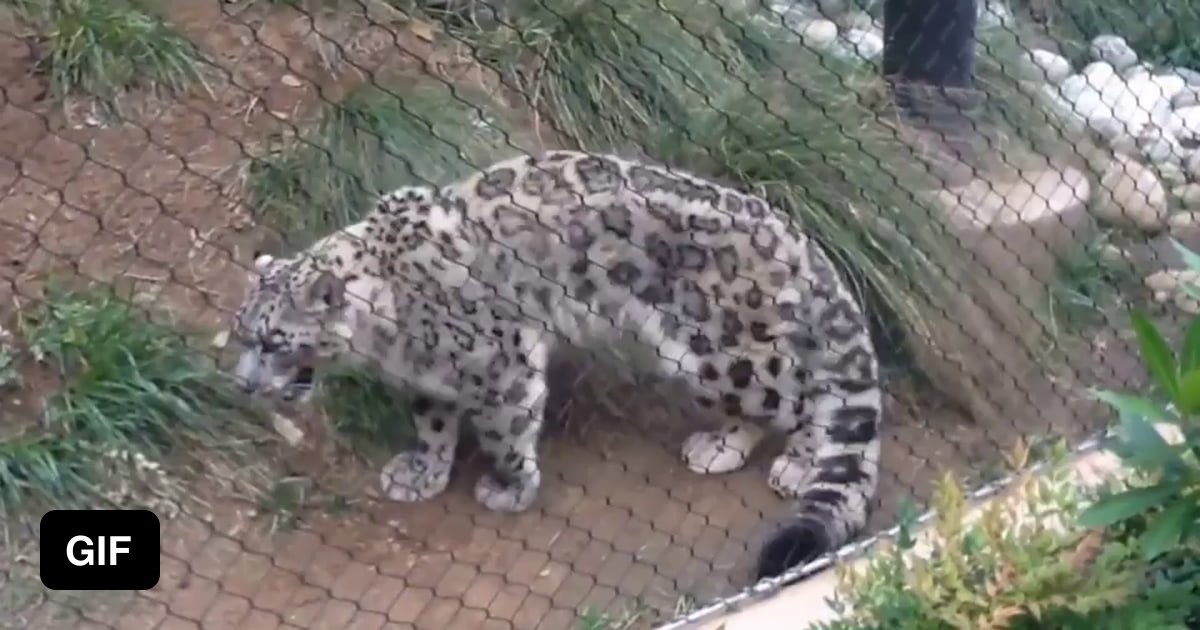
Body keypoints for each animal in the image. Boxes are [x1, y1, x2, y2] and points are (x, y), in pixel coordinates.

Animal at [229, 149, 882, 581]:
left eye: (272, 342)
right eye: (241, 335)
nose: (242, 383)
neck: (386, 335)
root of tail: (794, 236)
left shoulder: (501, 362)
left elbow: (506, 431)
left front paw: (509, 488)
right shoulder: (429, 373)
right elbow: (433, 423)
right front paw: (423, 472)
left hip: (723, 353)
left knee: (800, 394)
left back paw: (795, 462)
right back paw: (720, 445)